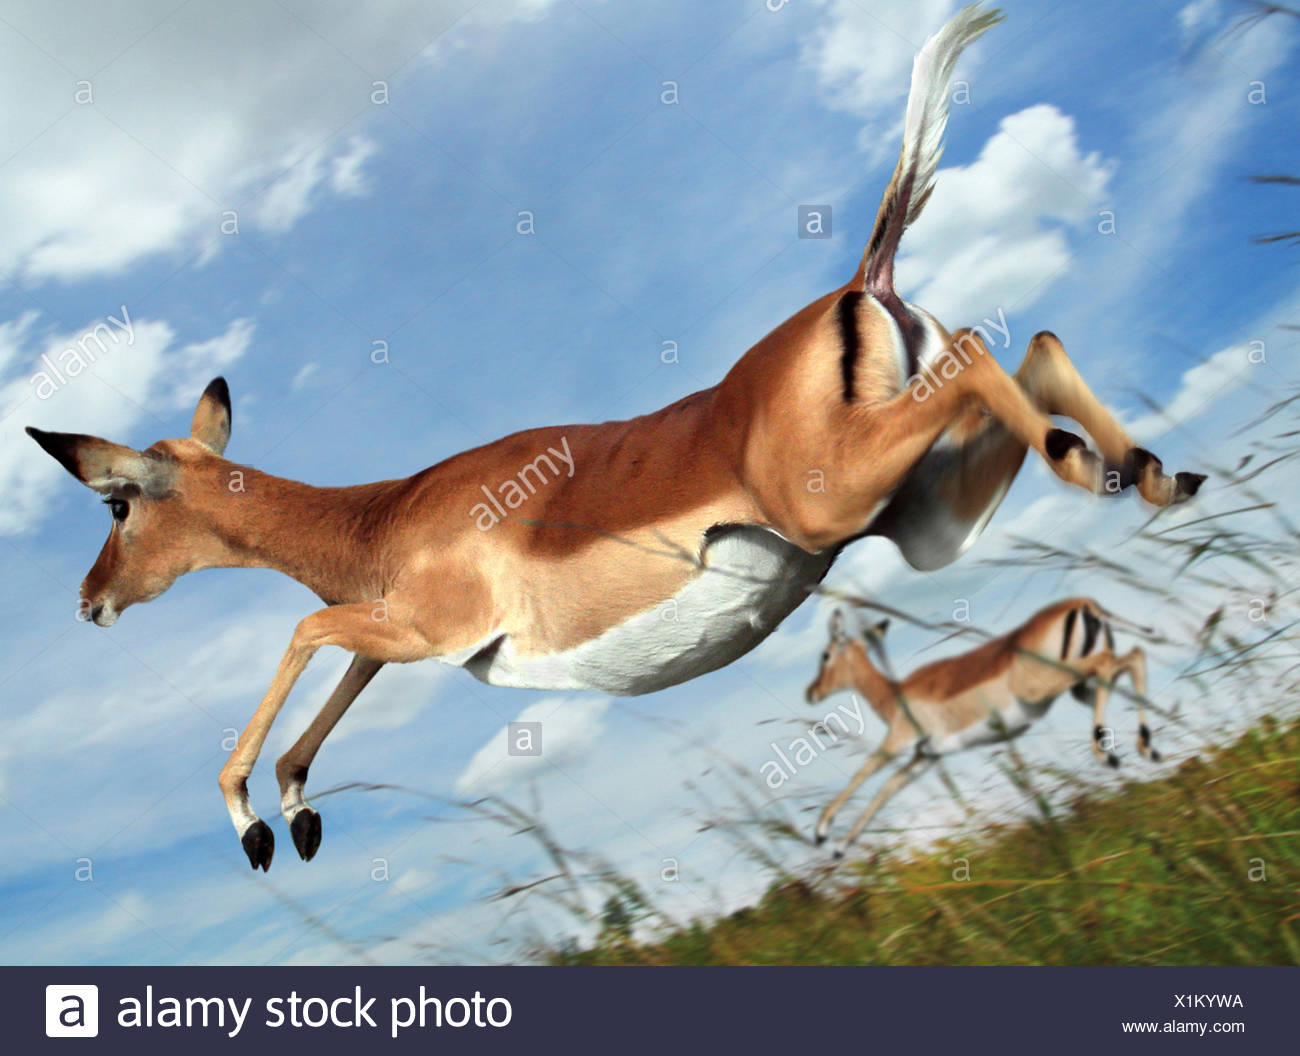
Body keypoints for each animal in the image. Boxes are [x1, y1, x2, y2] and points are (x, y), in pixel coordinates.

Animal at [805, 602, 1157, 857]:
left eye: (825, 655)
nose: (811, 692)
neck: (895, 696)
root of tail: (1083, 604)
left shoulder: (899, 741)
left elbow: (865, 772)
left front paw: (822, 832)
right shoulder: (927, 756)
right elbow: (887, 788)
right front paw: (840, 846)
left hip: (1053, 683)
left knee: (1110, 663)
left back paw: (1107, 755)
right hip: (1079, 686)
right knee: (1133, 657)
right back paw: (1146, 748)